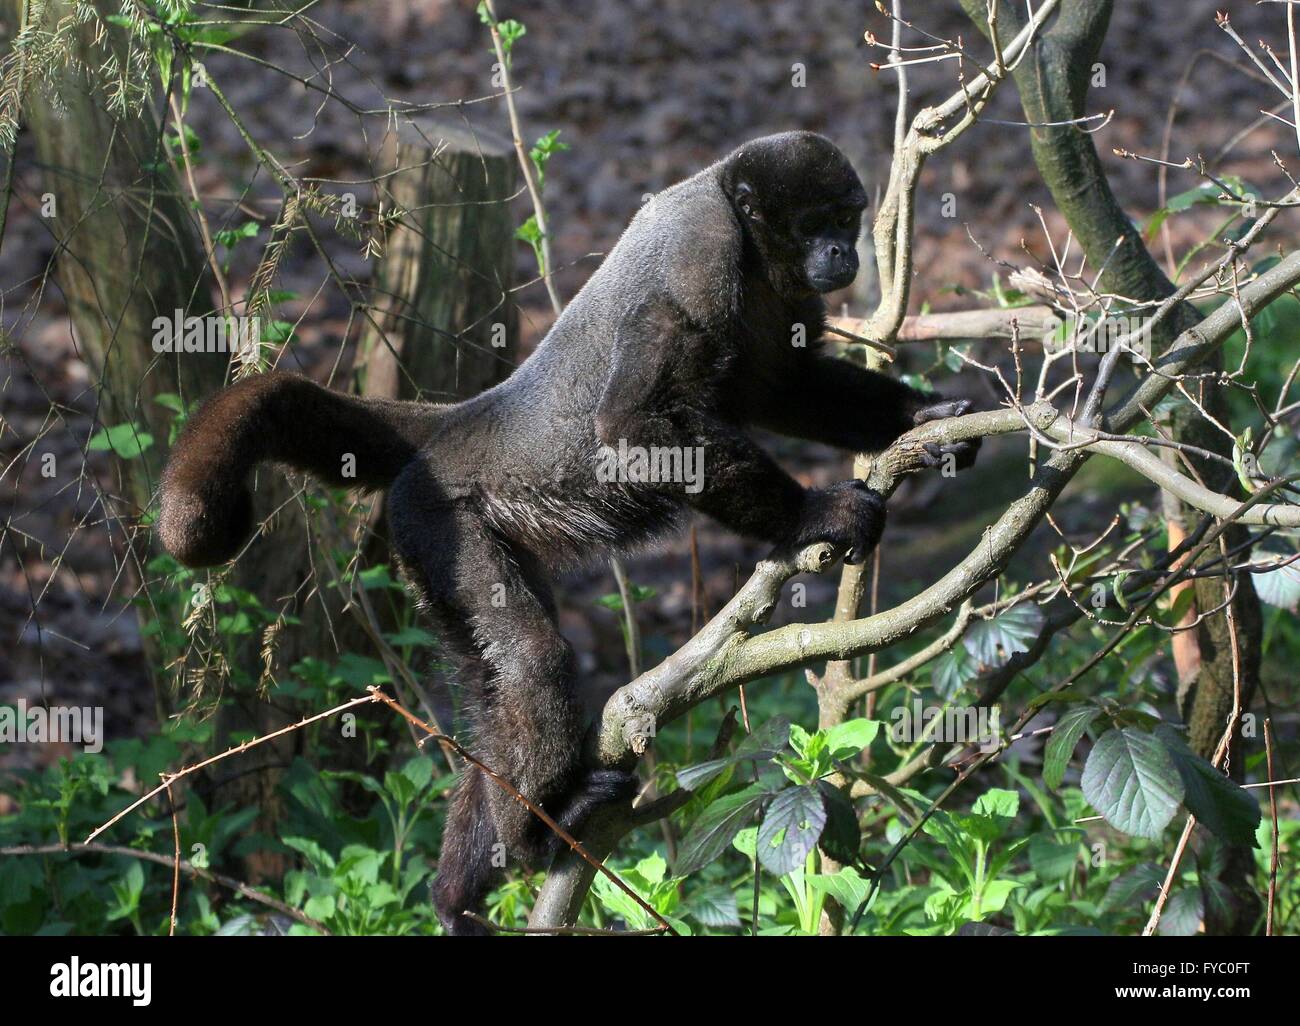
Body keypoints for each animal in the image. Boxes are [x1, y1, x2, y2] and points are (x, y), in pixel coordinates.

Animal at [158, 131, 979, 935]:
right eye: (814, 225)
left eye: (847, 219)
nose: (841, 251)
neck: (742, 226)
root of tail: (458, 426)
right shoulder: (703, 253)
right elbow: (631, 428)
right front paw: (816, 514)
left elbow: (786, 388)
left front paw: (928, 420)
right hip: (438, 522)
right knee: (532, 661)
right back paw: (532, 839)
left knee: (494, 695)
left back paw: (456, 897)